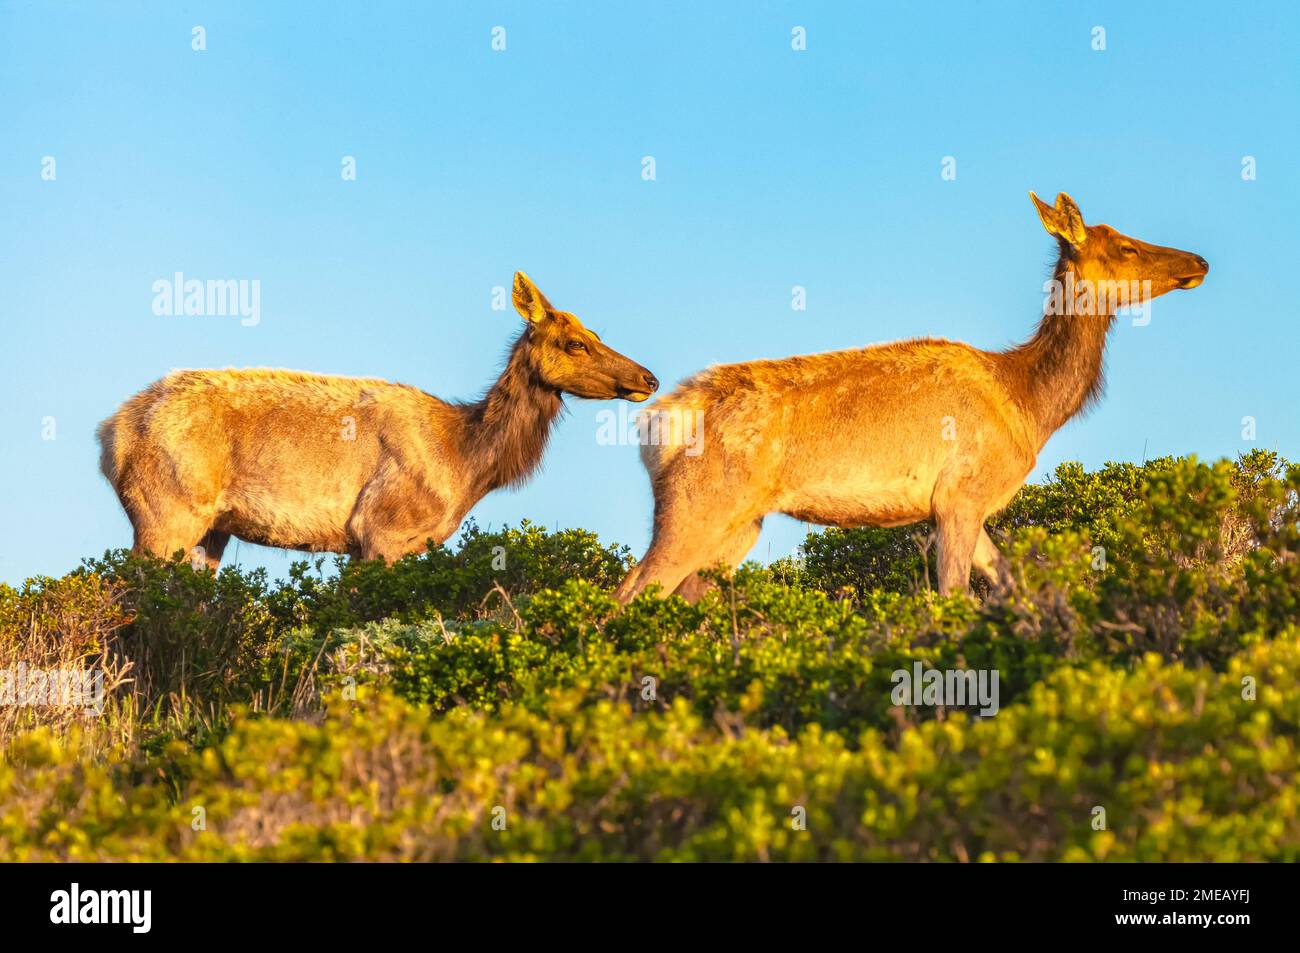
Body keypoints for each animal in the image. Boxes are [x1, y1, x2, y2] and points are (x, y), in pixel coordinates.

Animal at [98, 272, 658, 570]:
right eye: (575, 342)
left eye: (595, 332)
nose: (648, 377)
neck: (465, 465)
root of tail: (110, 436)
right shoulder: (382, 527)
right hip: (166, 511)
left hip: (210, 529)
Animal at [615, 192, 1209, 602]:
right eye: (1127, 246)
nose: (1199, 262)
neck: (1030, 406)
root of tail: (656, 425)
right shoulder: (962, 493)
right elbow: (955, 595)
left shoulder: (961, 505)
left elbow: (1007, 578)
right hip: (697, 506)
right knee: (629, 591)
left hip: (741, 524)